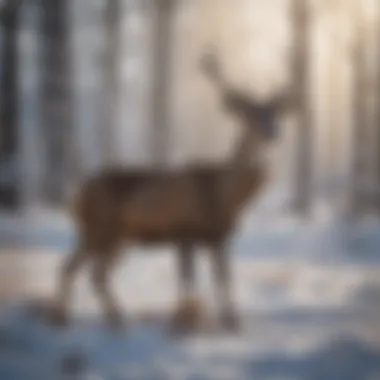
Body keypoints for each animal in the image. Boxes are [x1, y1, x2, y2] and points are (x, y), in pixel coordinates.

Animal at [48, 51, 290, 332]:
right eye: (248, 114)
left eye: (274, 114)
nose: (272, 133)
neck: (221, 194)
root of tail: (76, 193)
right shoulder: (184, 231)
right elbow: (188, 279)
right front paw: (184, 321)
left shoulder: (218, 237)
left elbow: (224, 278)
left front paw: (232, 322)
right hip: (98, 228)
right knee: (78, 268)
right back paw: (80, 319)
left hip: (118, 237)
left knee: (90, 271)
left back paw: (101, 318)